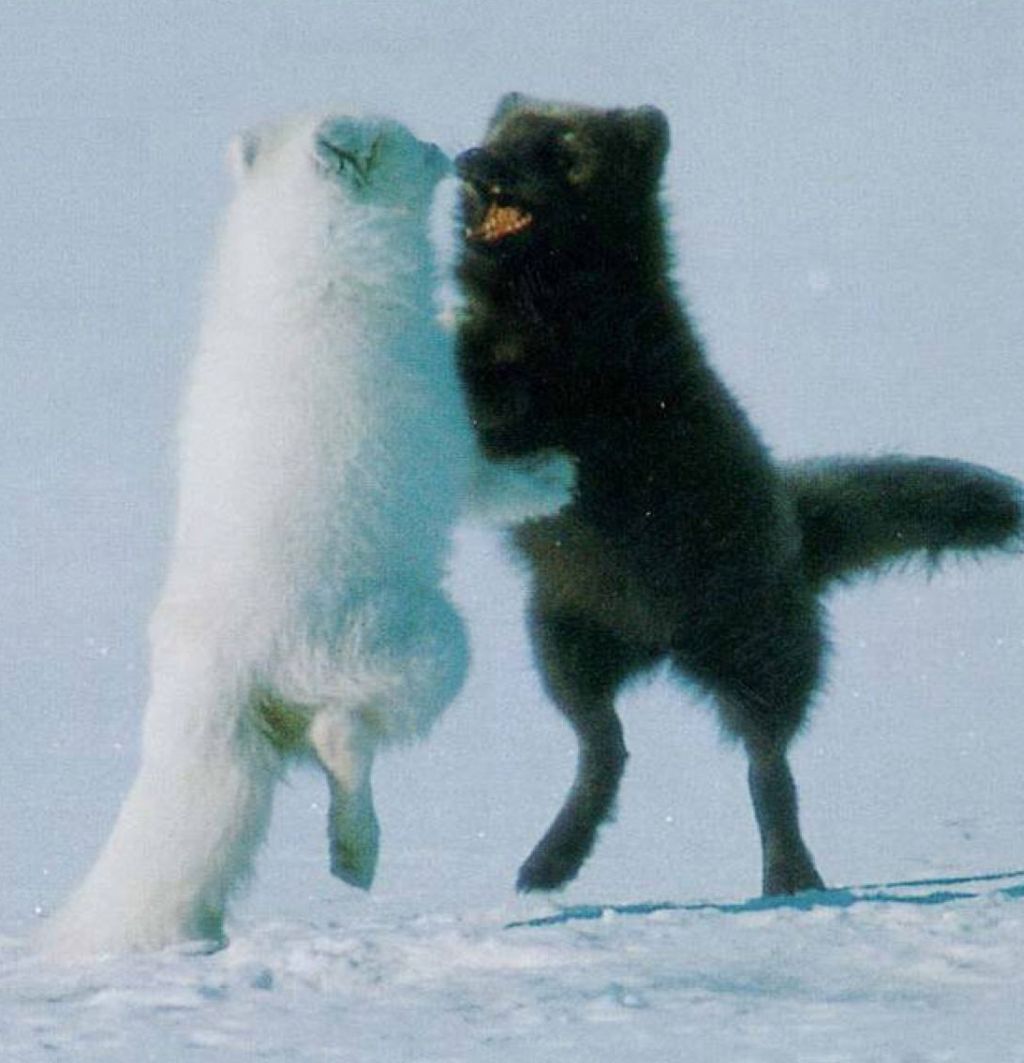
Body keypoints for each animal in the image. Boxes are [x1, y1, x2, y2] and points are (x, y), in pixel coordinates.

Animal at [454, 92, 1023, 897]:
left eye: (562, 150)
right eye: (498, 138)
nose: (472, 161)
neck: (548, 314)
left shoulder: (572, 399)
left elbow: (508, 415)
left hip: (764, 656)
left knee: (766, 765)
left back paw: (789, 874)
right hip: (560, 635)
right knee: (607, 743)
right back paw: (552, 859)